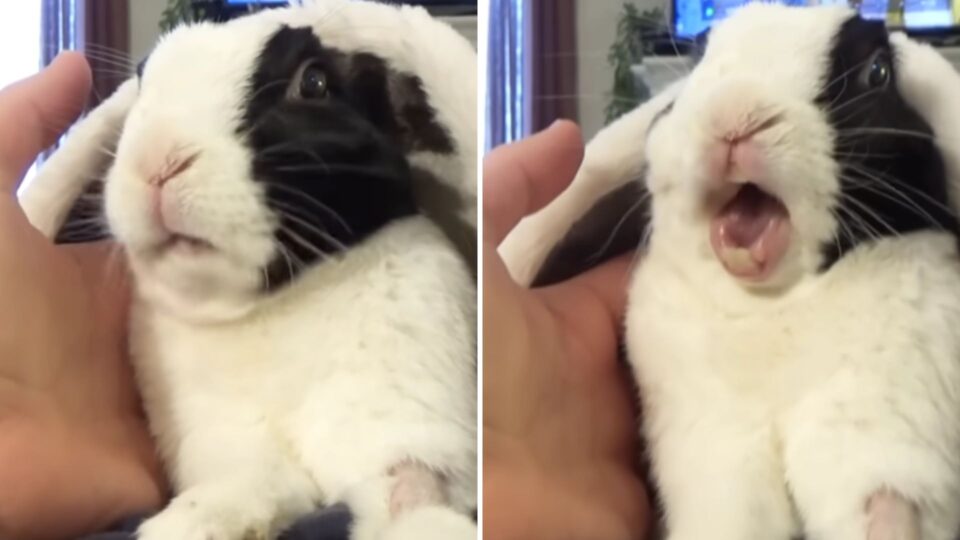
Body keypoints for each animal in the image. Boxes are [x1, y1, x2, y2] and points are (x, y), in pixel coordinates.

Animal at [19, 1, 477, 539]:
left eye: (315, 83)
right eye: (143, 75)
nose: (160, 162)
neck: (271, 307)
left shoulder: (405, 426)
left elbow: (410, 496)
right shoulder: (231, 446)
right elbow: (252, 485)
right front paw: (183, 525)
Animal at [504, 5, 960, 540]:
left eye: (879, 72)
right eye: (698, 58)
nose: (737, 116)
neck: (775, 307)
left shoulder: (881, 436)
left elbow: (881, 506)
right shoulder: (715, 453)